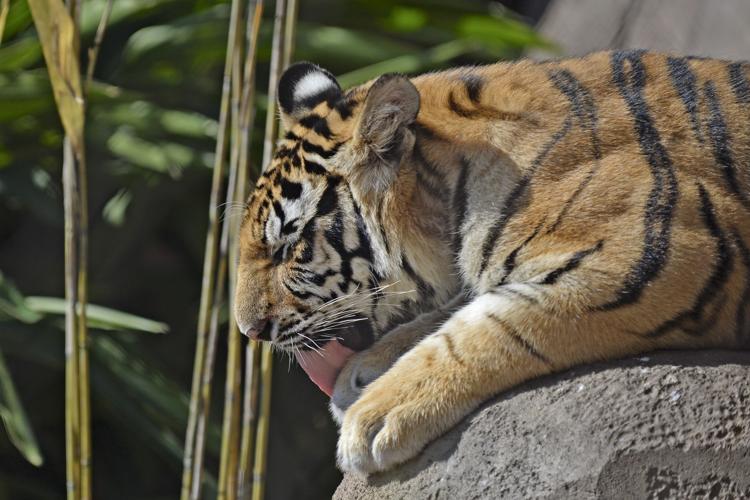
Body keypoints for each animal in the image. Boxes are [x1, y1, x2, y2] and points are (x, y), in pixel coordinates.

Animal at [234, 50, 750, 475]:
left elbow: (485, 330)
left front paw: (377, 413)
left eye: (287, 248)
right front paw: (362, 373)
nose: (248, 330)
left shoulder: (653, 257)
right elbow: (451, 313)